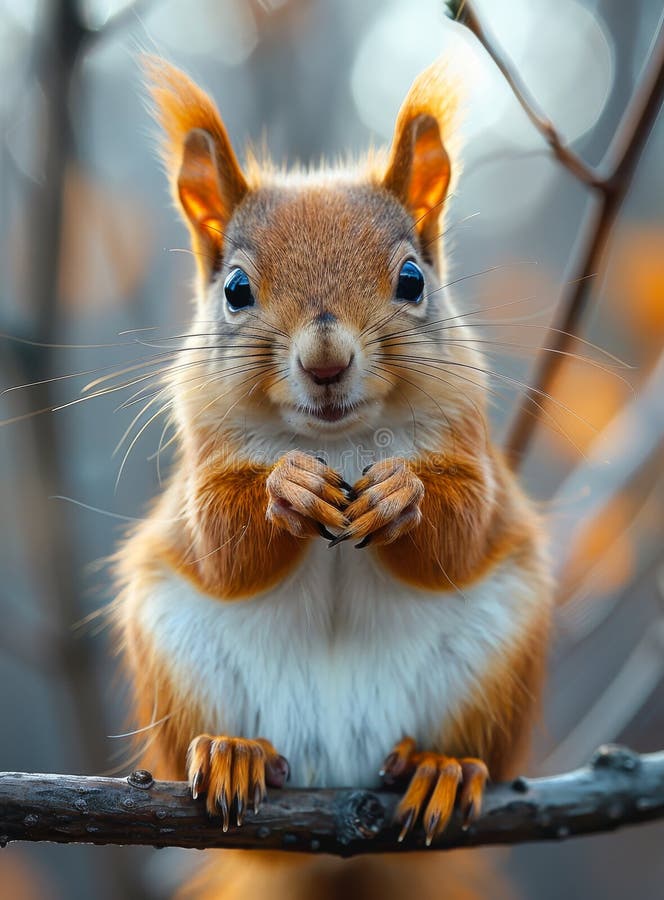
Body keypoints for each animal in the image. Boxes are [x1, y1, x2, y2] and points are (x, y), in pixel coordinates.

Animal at [113, 56, 552, 900]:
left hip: (497, 667)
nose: (325, 361)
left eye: (412, 278)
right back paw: (235, 752)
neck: (339, 441)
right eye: (236, 290)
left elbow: (460, 532)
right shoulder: (198, 470)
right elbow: (219, 545)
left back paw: (439, 766)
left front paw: (402, 493)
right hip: (178, 665)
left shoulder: (475, 455)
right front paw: (285, 488)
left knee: (461, 740)